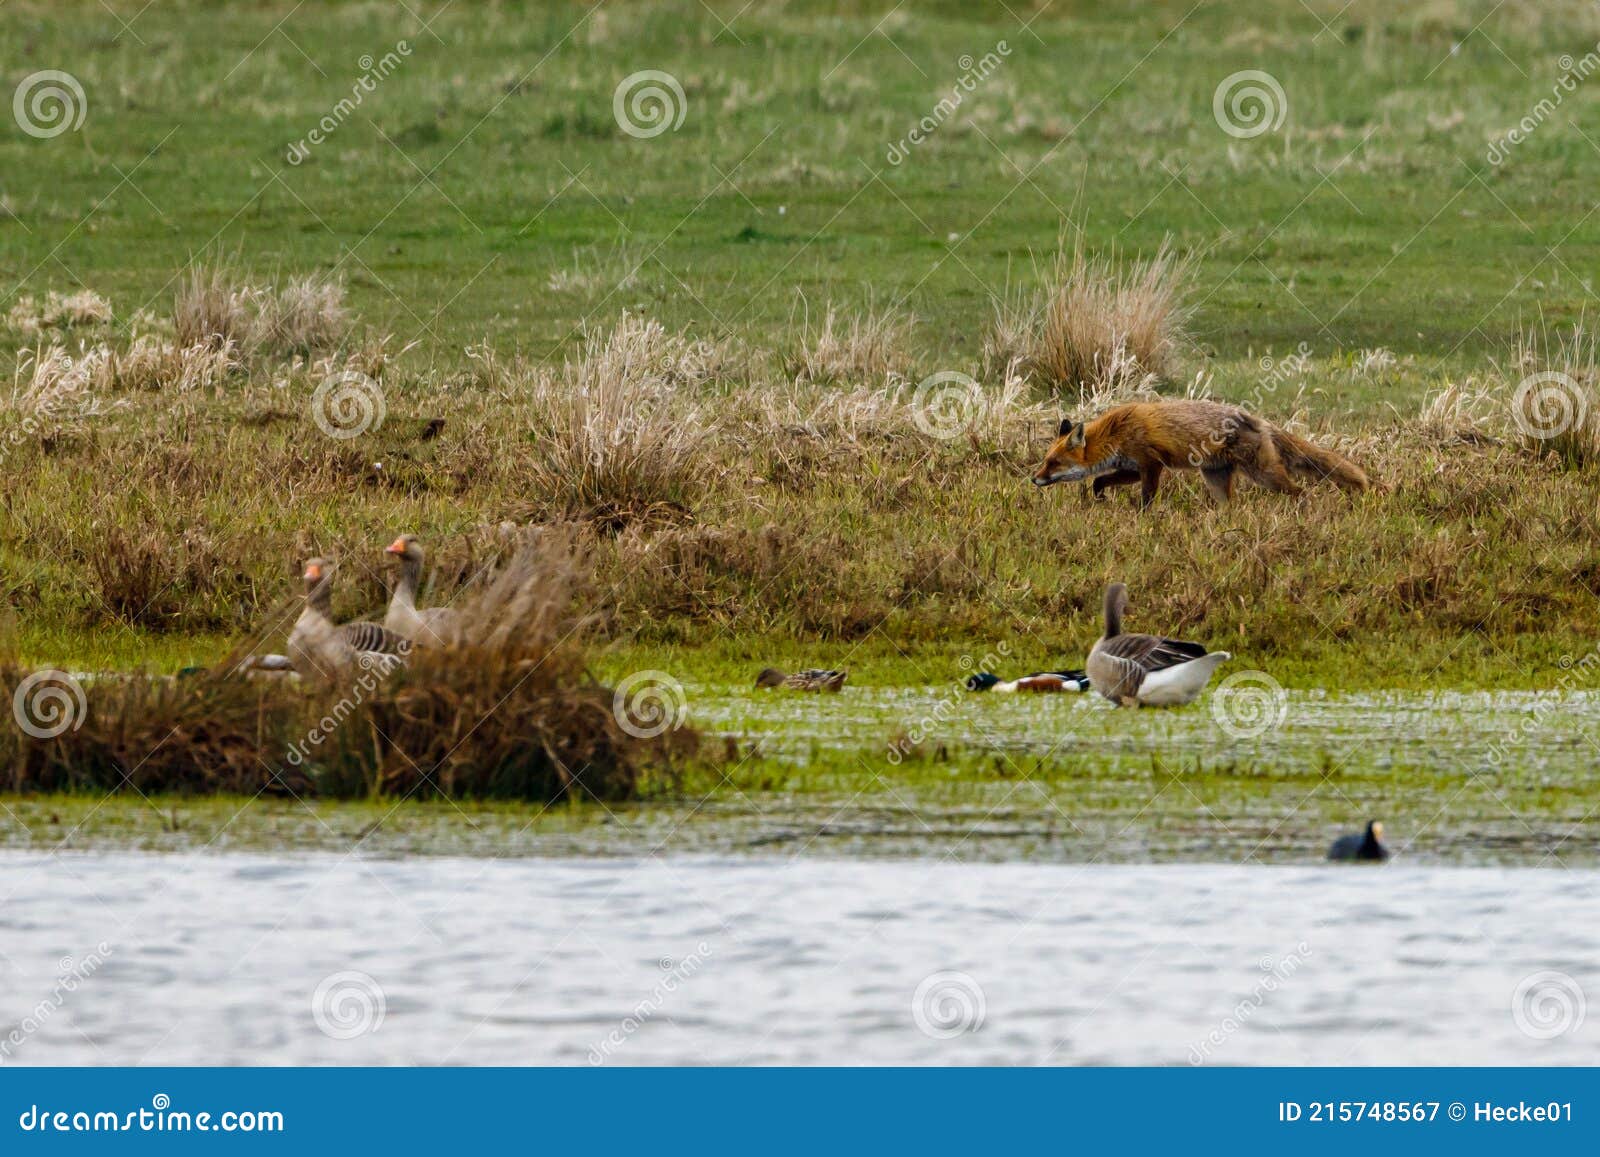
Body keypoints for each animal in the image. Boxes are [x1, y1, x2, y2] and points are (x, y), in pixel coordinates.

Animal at [1032, 399, 1368, 507]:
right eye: (1045, 461)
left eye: (1053, 463)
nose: (1033, 479)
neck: (1116, 432)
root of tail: (1256, 419)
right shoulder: (1131, 466)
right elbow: (1099, 480)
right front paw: (1100, 497)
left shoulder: (1151, 464)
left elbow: (1147, 497)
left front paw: (1143, 516)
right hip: (1215, 479)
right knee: (1230, 506)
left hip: (1265, 475)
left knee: (1300, 492)